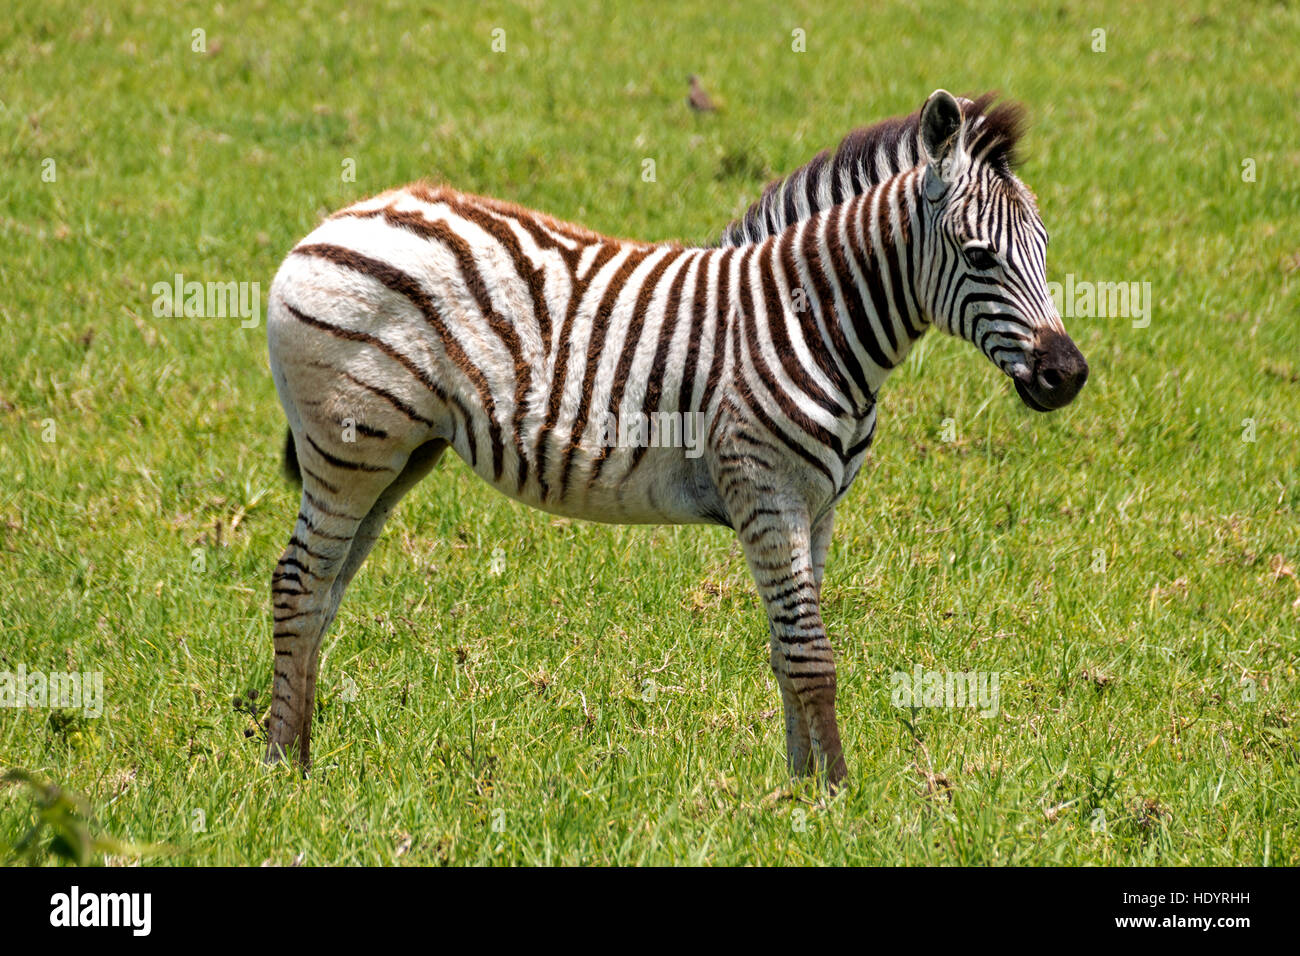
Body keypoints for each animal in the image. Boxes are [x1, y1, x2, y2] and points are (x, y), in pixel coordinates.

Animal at [263, 90, 1088, 787]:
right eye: (979, 256)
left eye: (1048, 248)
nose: (1068, 375)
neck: (813, 324)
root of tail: (338, 218)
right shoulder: (766, 490)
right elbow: (811, 653)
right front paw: (836, 799)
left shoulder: (818, 506)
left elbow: (789, 646)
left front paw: (798, 787)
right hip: (349, 448)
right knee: (297, 581)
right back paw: (281, 773)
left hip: (398, 456)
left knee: (325, 590)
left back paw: (301, 755)